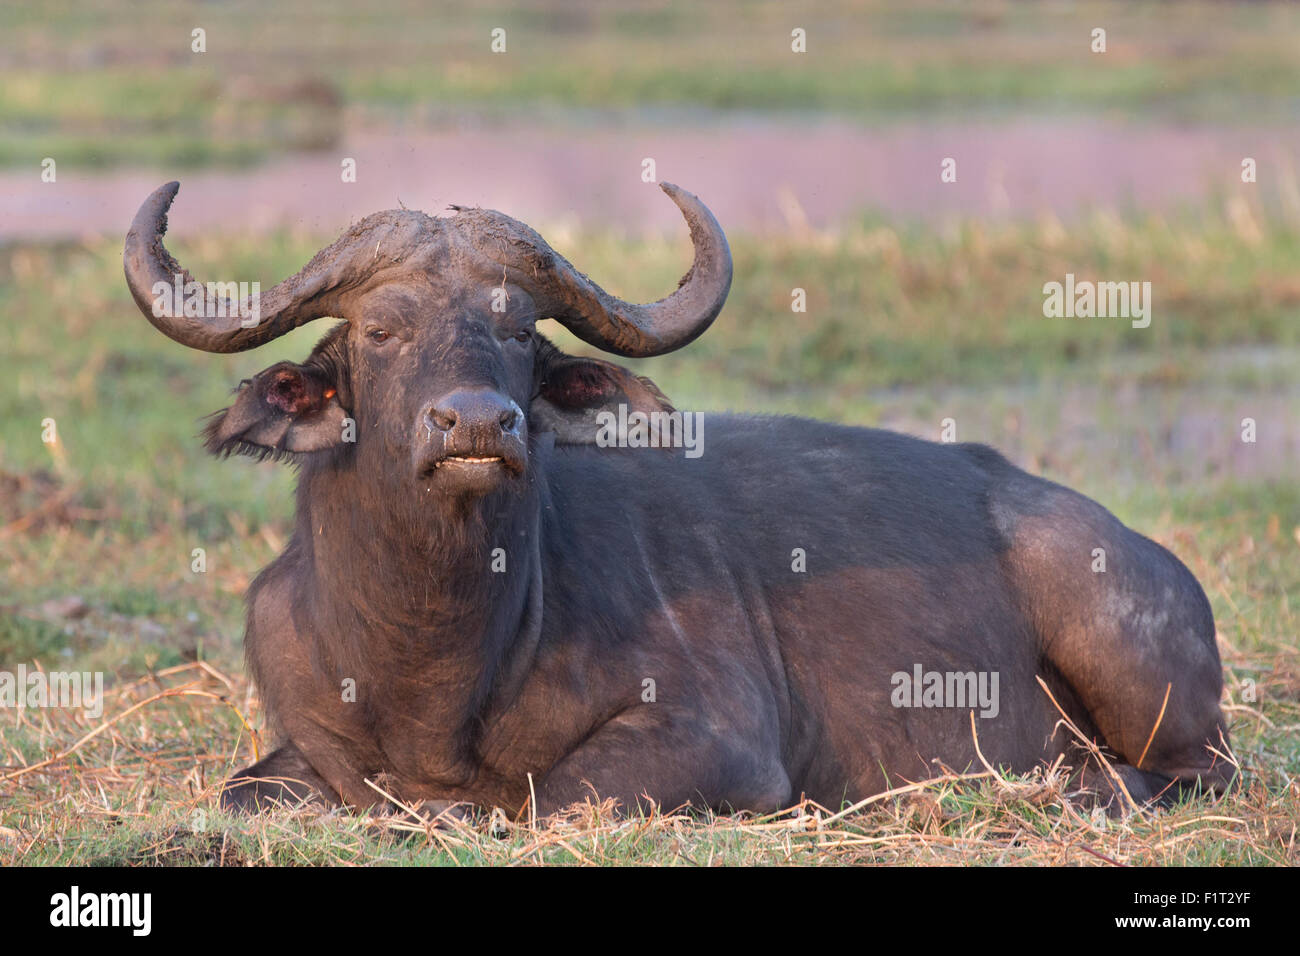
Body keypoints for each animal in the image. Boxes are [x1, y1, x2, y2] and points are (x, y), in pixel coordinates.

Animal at [123, 181, 1232, 818]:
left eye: (518, 329)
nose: (476, 423)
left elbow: (549, 799)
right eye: (381, 329)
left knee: (1193, 768)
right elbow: (249, 794)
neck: (435, 656)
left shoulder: (719, 745)